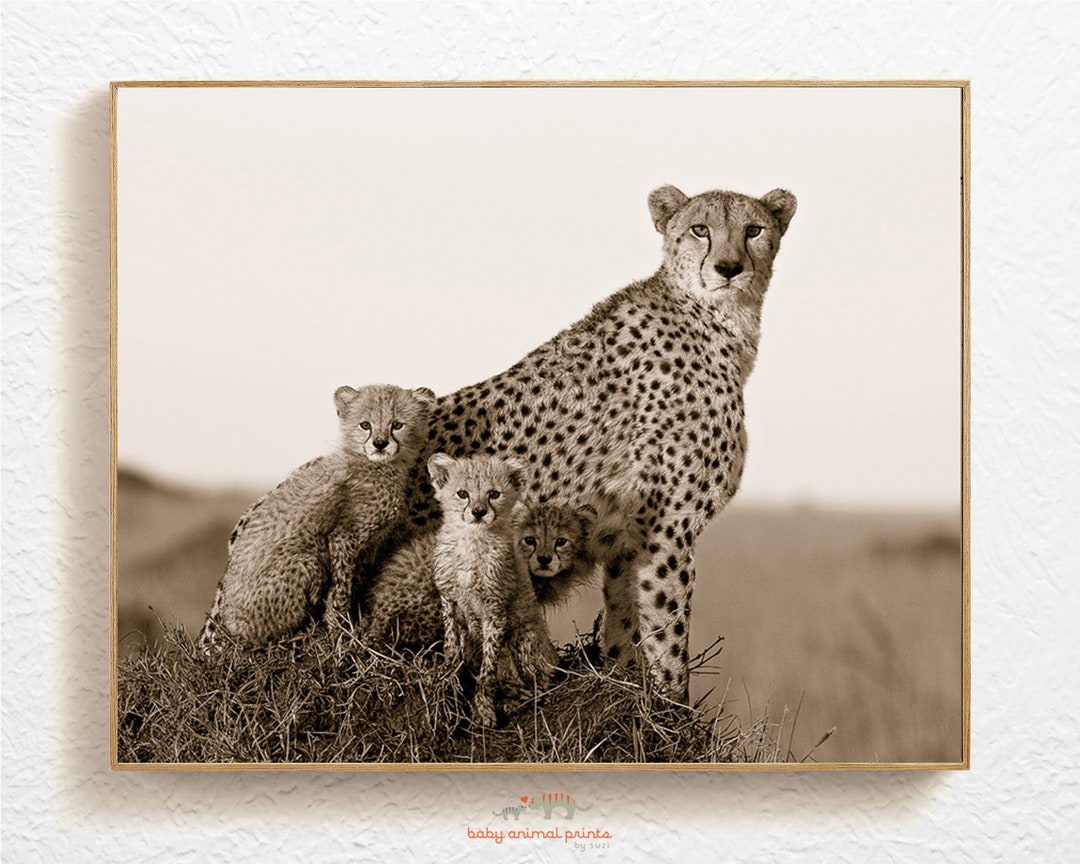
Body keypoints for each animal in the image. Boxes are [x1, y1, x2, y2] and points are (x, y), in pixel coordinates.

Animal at [197, 383, 435, 647]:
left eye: (397, 425)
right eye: (365, 425)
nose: (380, 443)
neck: (378, 466)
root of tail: (231, 624)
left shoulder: (369, 544)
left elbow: (358, 582)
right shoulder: (343, 537)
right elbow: (341, 589)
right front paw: (341, 631)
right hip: (308, 560)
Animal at [396, 184, 797, 698]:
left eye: (754, 229)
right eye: (700, 229)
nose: (729, 267)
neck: (718, 318)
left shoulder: (631, 540)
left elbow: (625, 628)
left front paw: (623, 687)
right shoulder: (667, 531)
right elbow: (669, 639)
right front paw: (673, 711)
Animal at [427, 452, 557, 727]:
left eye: (494, 494)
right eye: (462, 494)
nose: (478, 512)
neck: (472, 540)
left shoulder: (495, 611)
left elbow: (488, 669)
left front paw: (484, 709)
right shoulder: (449, 600)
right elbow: (451, 647)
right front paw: (447, 687)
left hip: (525, 638)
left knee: (539, 680)